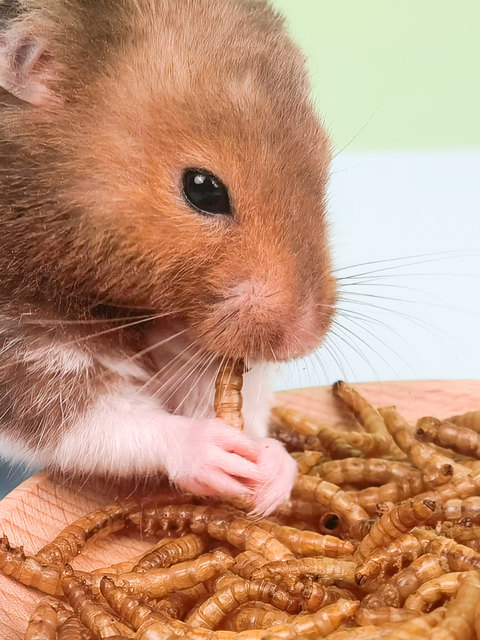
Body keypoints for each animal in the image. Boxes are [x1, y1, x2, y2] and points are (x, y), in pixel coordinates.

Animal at [0, 0, 335, 514]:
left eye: (325, 162)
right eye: (203, 189)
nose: (302, 340)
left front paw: (270, 470)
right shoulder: (21, 349)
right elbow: (86, 416)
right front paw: (218, 455)